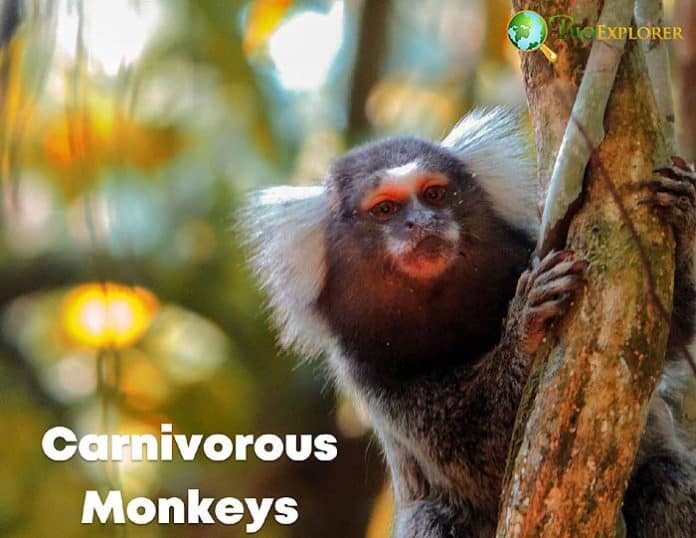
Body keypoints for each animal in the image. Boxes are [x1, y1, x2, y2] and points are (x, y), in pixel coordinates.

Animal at [240, 107, 696, 537]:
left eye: (435, 194)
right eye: (385, 209)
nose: (422, 223)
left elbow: (662, 329)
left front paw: (685, 213)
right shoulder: (372, 372)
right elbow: (481, 454)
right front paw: (524, 327)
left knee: (668, 480)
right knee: (431, 518)